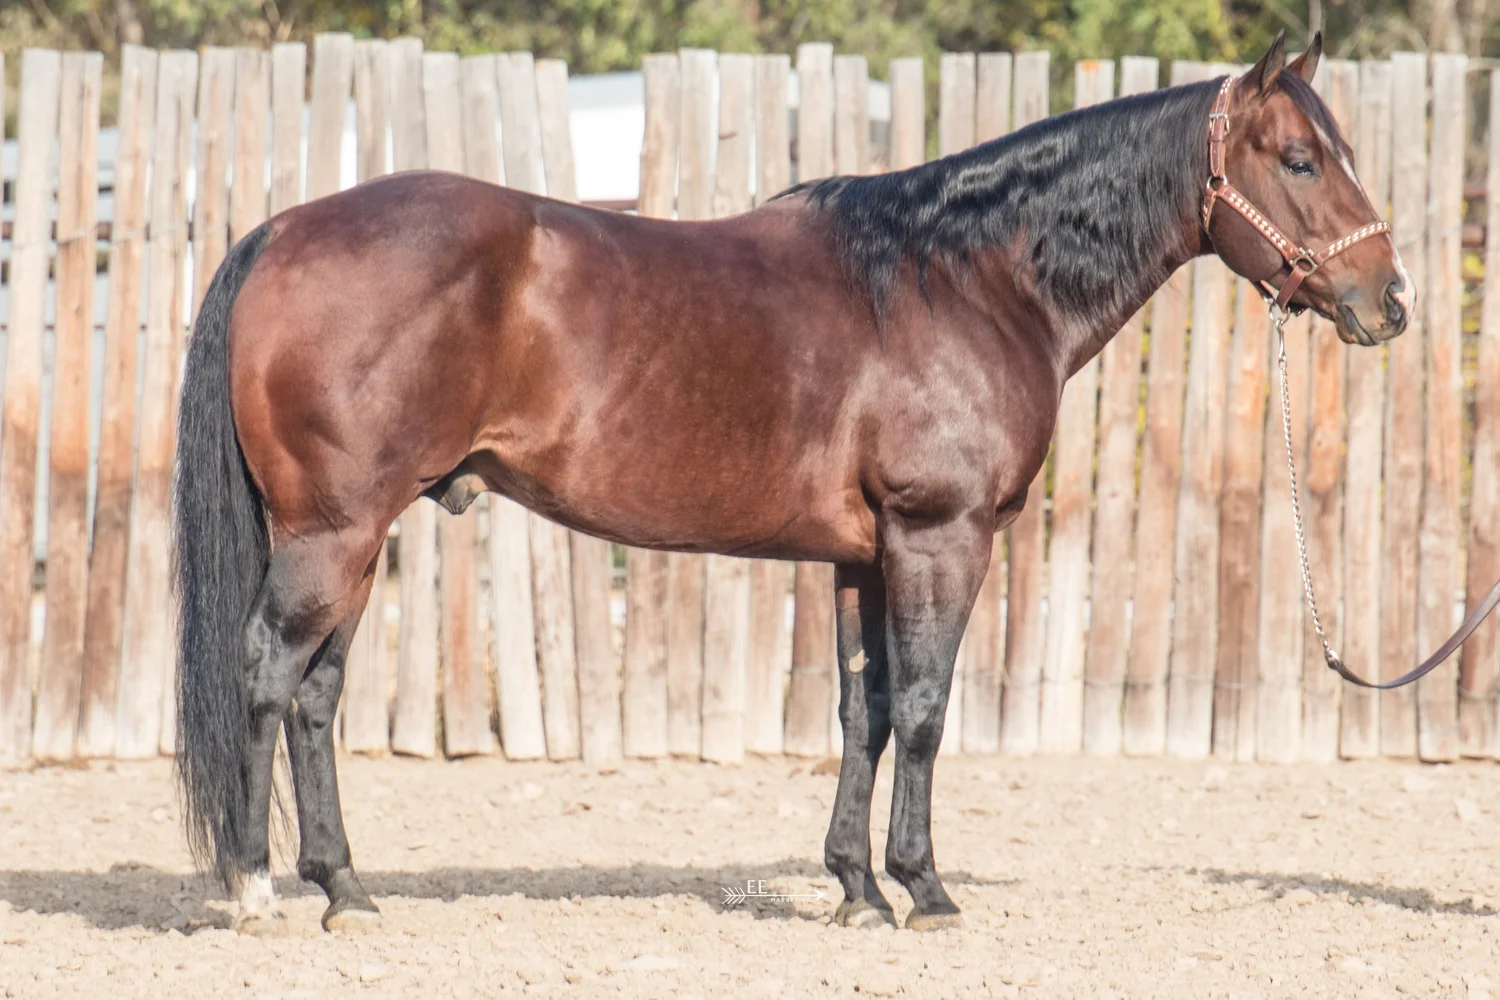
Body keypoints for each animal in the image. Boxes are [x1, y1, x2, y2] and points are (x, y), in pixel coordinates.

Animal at [173, 30, 1409, 935]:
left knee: (317, 699)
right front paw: (926, 889)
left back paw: (344, 888)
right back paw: (252, 886)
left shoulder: (863, 558)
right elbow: (924, 711)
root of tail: (283, 230)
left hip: (356, 541)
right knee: (266, 675)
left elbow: (865, 713)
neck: (964, 280)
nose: (1387, 302)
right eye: (1299, 160)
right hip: (332, 534)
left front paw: (858, 890)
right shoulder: (941, 537)